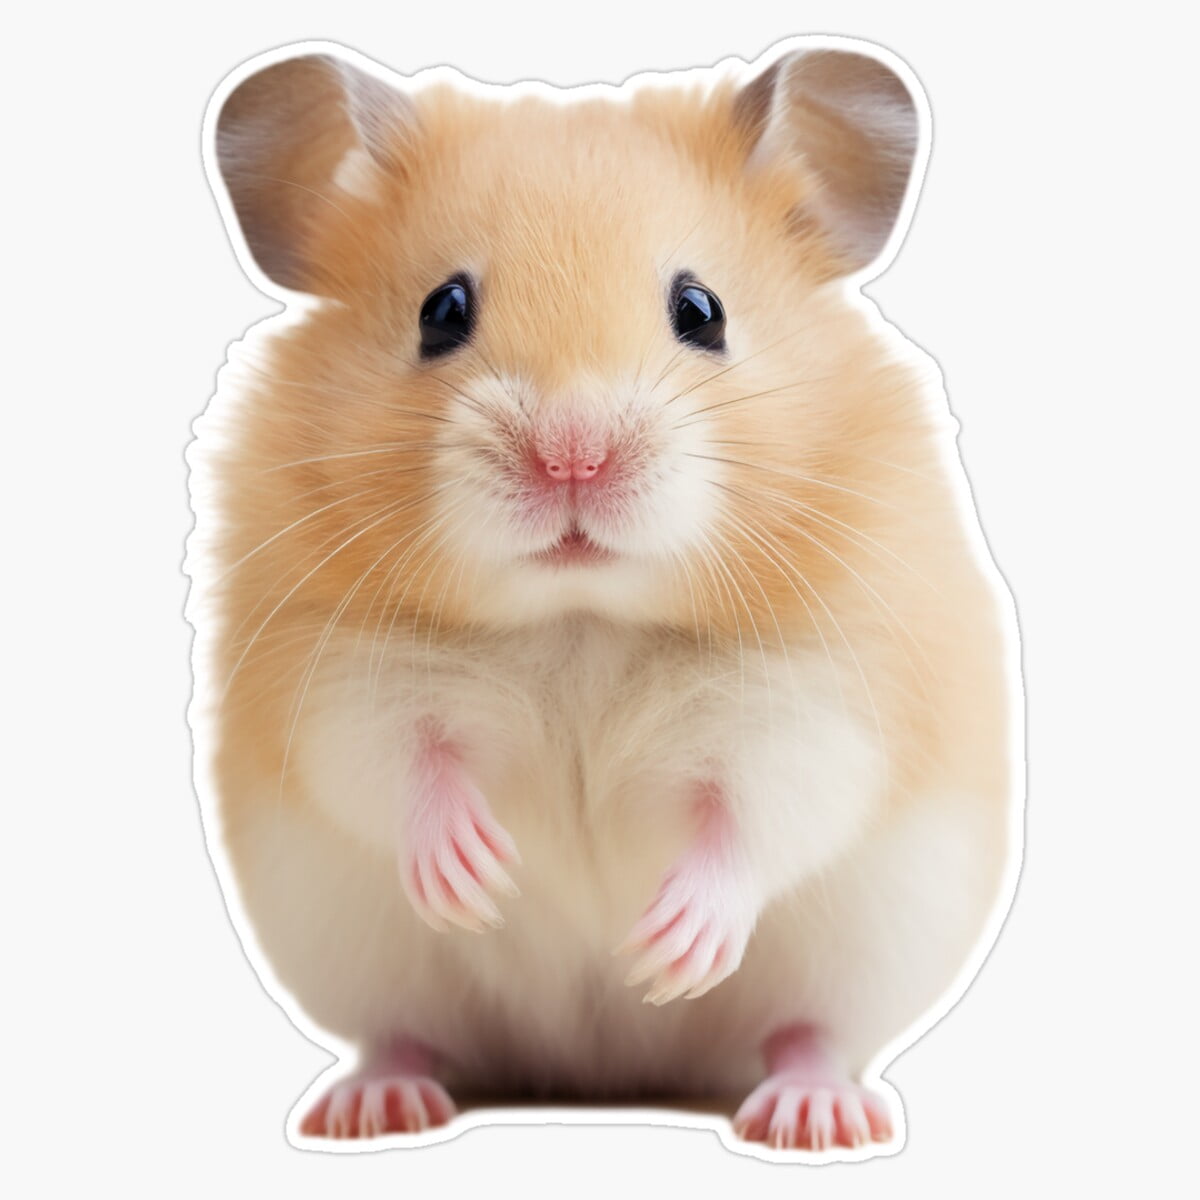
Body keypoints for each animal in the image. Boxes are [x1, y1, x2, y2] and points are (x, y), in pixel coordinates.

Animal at [187, 41, 1018, 1156]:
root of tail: (600, 1073)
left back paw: (813, 1115)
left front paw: (665, 948)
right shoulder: (337, 682)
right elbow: (399, 765)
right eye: (441, 311)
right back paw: (374, 1105)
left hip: (869, 947)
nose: (570, 456)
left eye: (701, 311)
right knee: (401, 1033)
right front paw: (479, 877)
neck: (580, 620)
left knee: (810, 1034)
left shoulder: (823, 698)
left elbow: (763, 815)